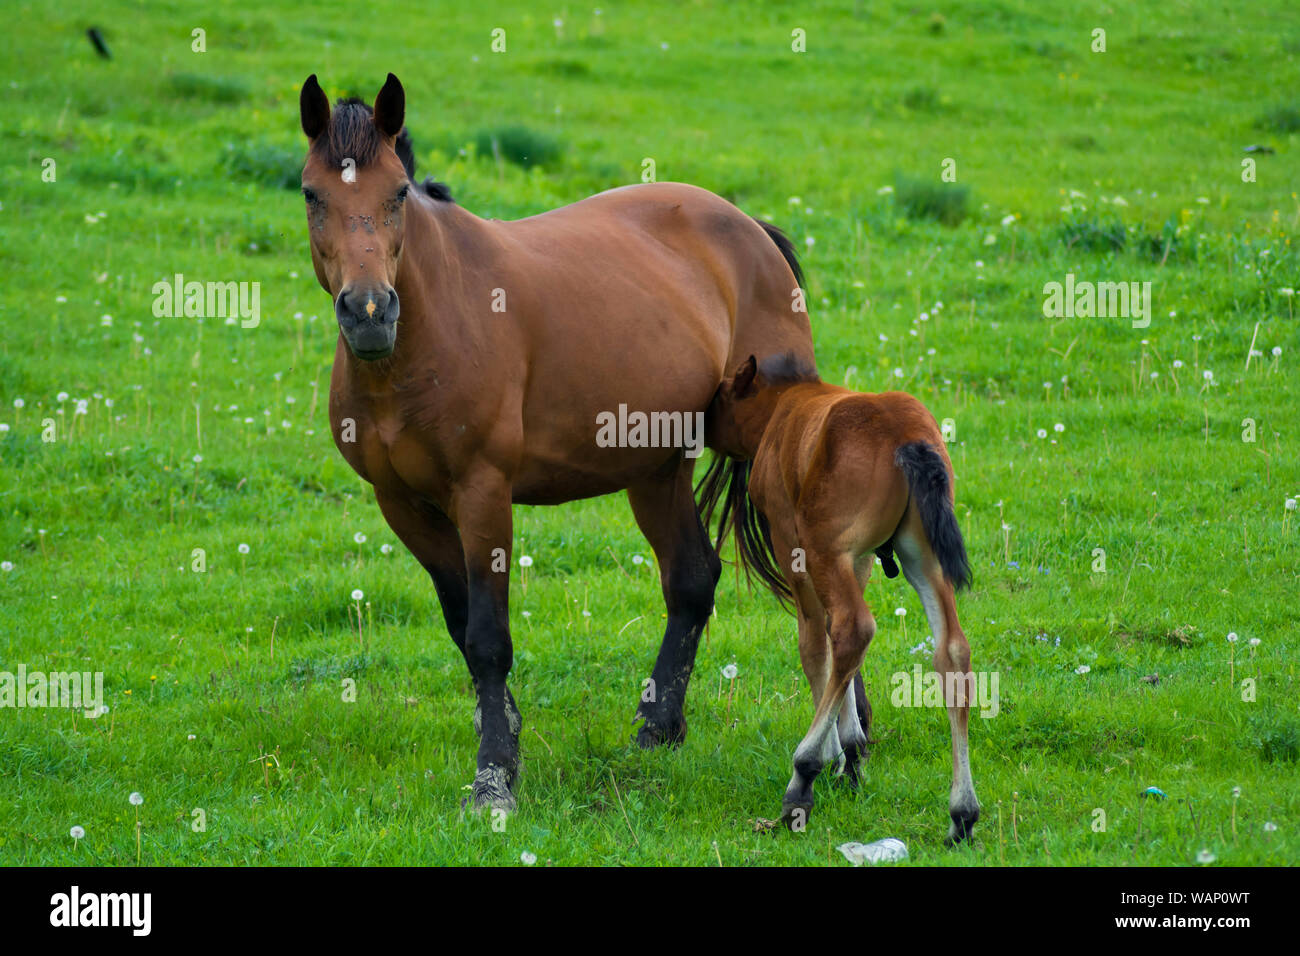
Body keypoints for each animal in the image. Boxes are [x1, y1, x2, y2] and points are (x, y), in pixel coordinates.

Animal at [297, 73, 817, 811]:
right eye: (312, 193)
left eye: (396, 193)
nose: (369, 312)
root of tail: (754, 233)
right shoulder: (402, 505)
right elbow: (464, 631)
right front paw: (505, 743)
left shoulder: (483, 495)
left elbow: (488, 639)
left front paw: (493, 780)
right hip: (656, 468)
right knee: (692, 579)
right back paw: (657, 729)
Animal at [706, 354, 980, 844]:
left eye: (719, 398)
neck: (783, 408)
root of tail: (907, 438)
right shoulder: (862, 558)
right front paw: (852, 755)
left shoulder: (794, 544)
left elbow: (816, 644)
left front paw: (836, 757)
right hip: (921, 556)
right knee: (951, 650)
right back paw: (961, 813)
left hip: (825, 551)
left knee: (854, 630)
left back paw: (802, 777)